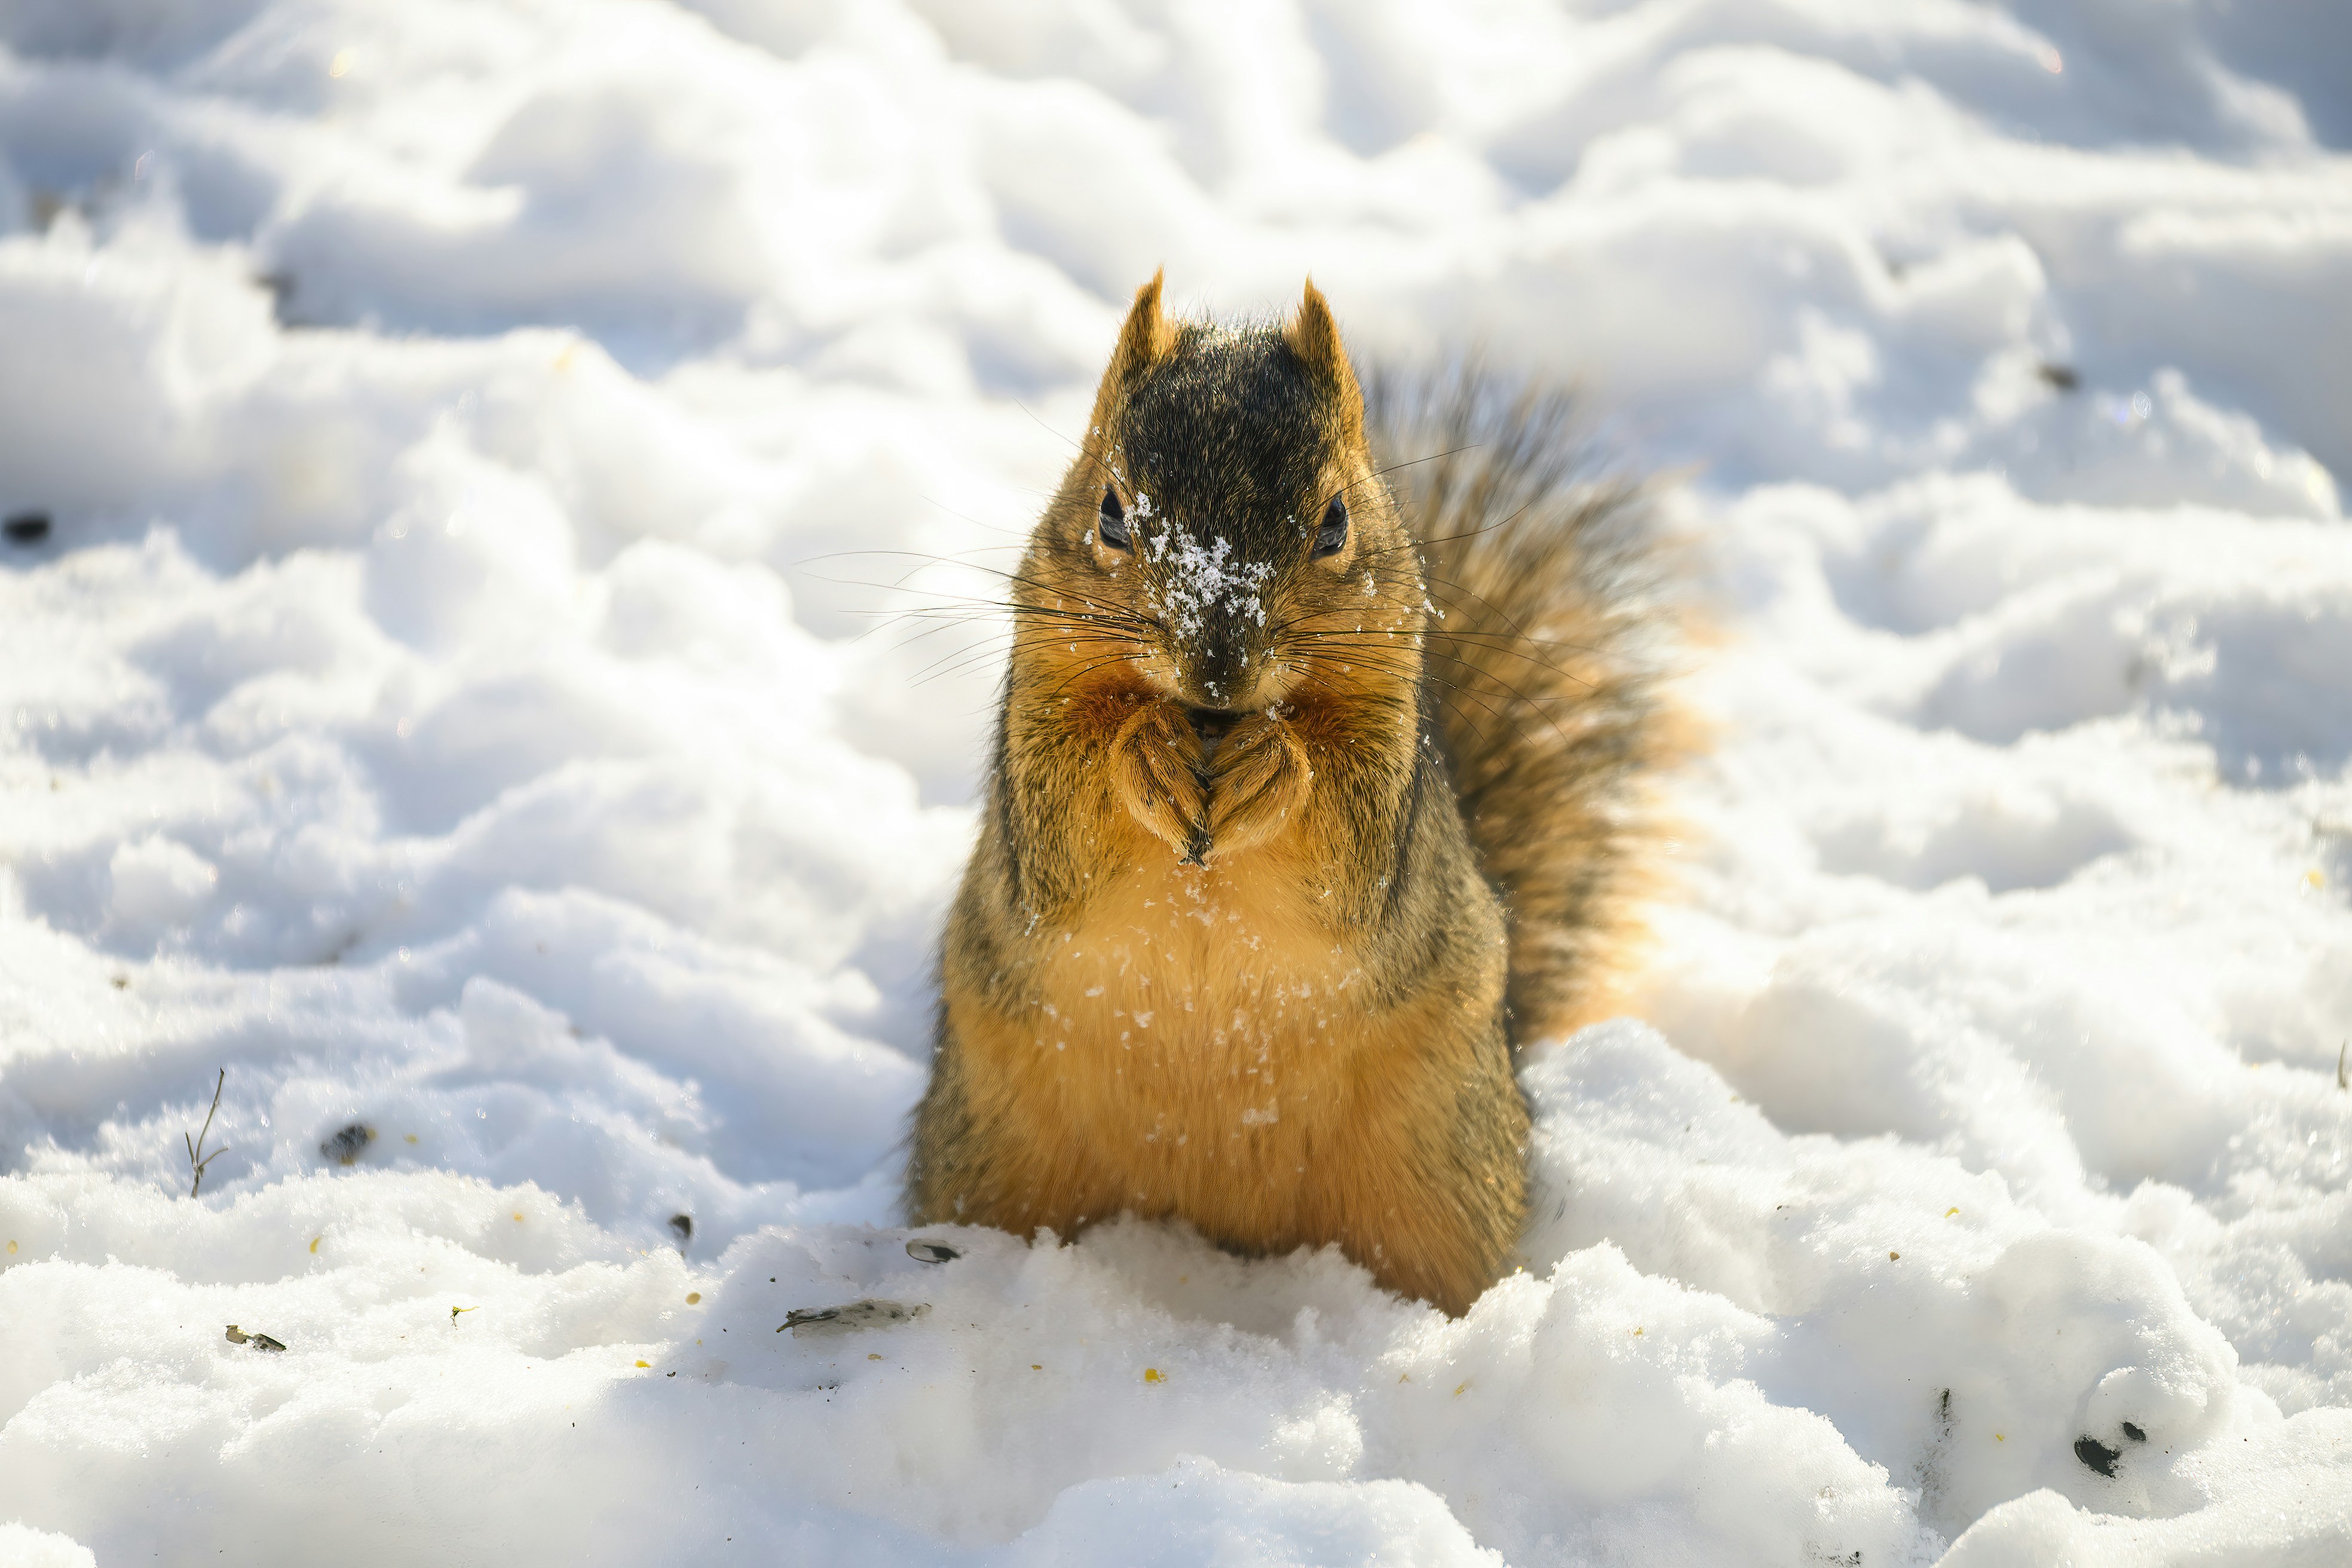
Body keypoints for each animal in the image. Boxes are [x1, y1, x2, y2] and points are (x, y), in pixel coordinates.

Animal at [907, 273, 1683, 1315]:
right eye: (1109, 512)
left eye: (1336, 523)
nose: (1217, 670)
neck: (1214, 726)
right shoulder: (1039, 710)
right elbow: (1060, 812)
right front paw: (1145, 751)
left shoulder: (1389, 756)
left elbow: (1348, 841)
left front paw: (1276, 765)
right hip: (988, 1161)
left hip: (1440, 1170)